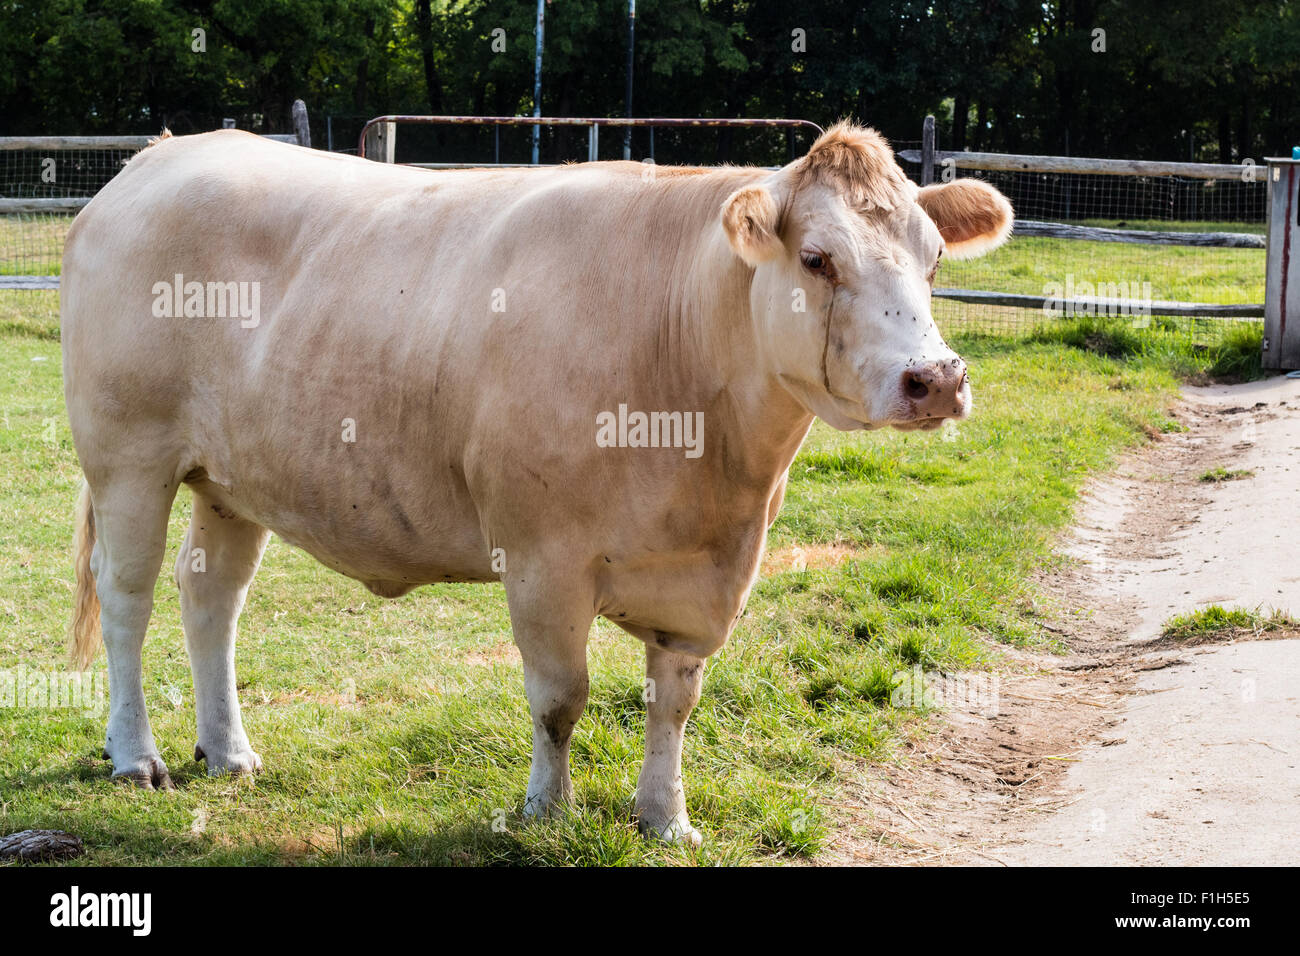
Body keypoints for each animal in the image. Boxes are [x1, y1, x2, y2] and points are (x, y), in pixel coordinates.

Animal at [62, 122, 1012, 845]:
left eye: (933, 258)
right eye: (816, 258)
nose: (937, 379)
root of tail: (159, 156)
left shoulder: (708, 578)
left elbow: (675, 704)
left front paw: (666, 819)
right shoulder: (543, 558)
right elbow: (562, 699)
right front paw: (546, 812)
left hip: (230, 478)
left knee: (211, 600)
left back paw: (228, 751)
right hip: (128, 457)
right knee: (128, 599)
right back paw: (136, 754)